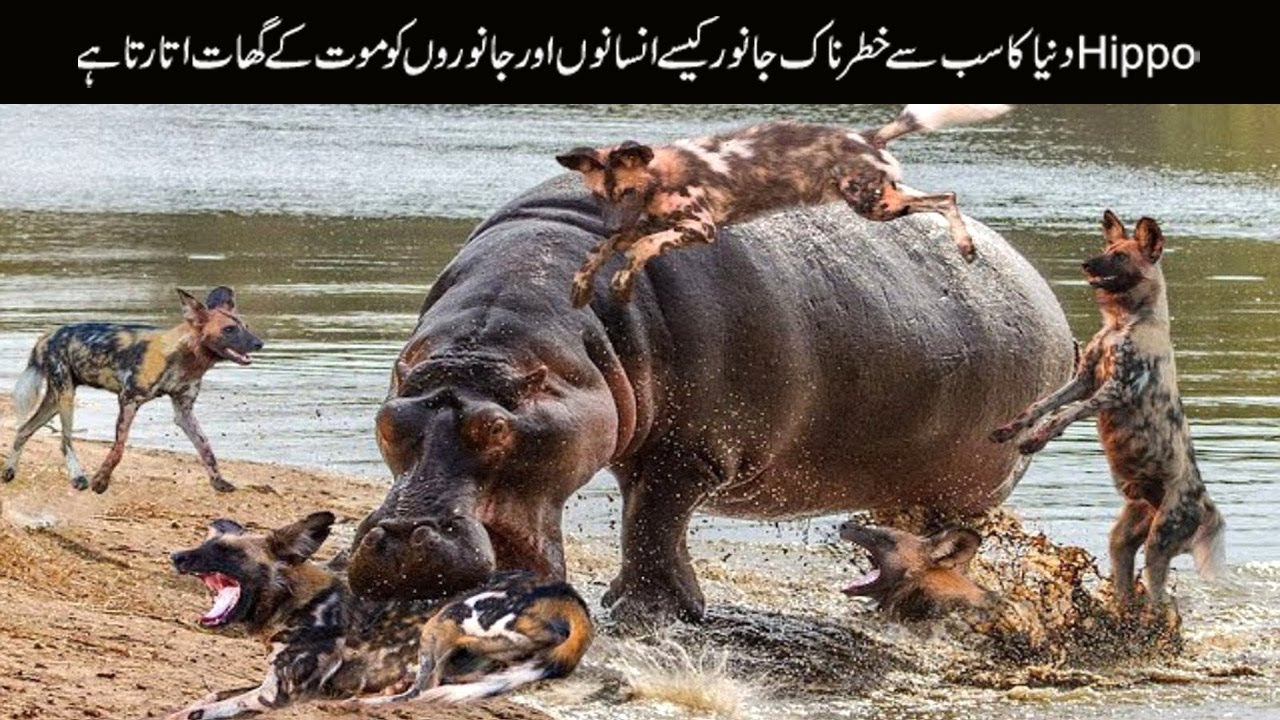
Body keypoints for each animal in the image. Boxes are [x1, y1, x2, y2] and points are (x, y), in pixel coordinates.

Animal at [347, 175, 1072, 623]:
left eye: (495, 429)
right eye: (388, 423)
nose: (403, 537)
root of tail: (1037, 282)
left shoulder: (687, 449)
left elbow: (653, 522)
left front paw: (649, 612)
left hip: (973, 485)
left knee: (955, 540)